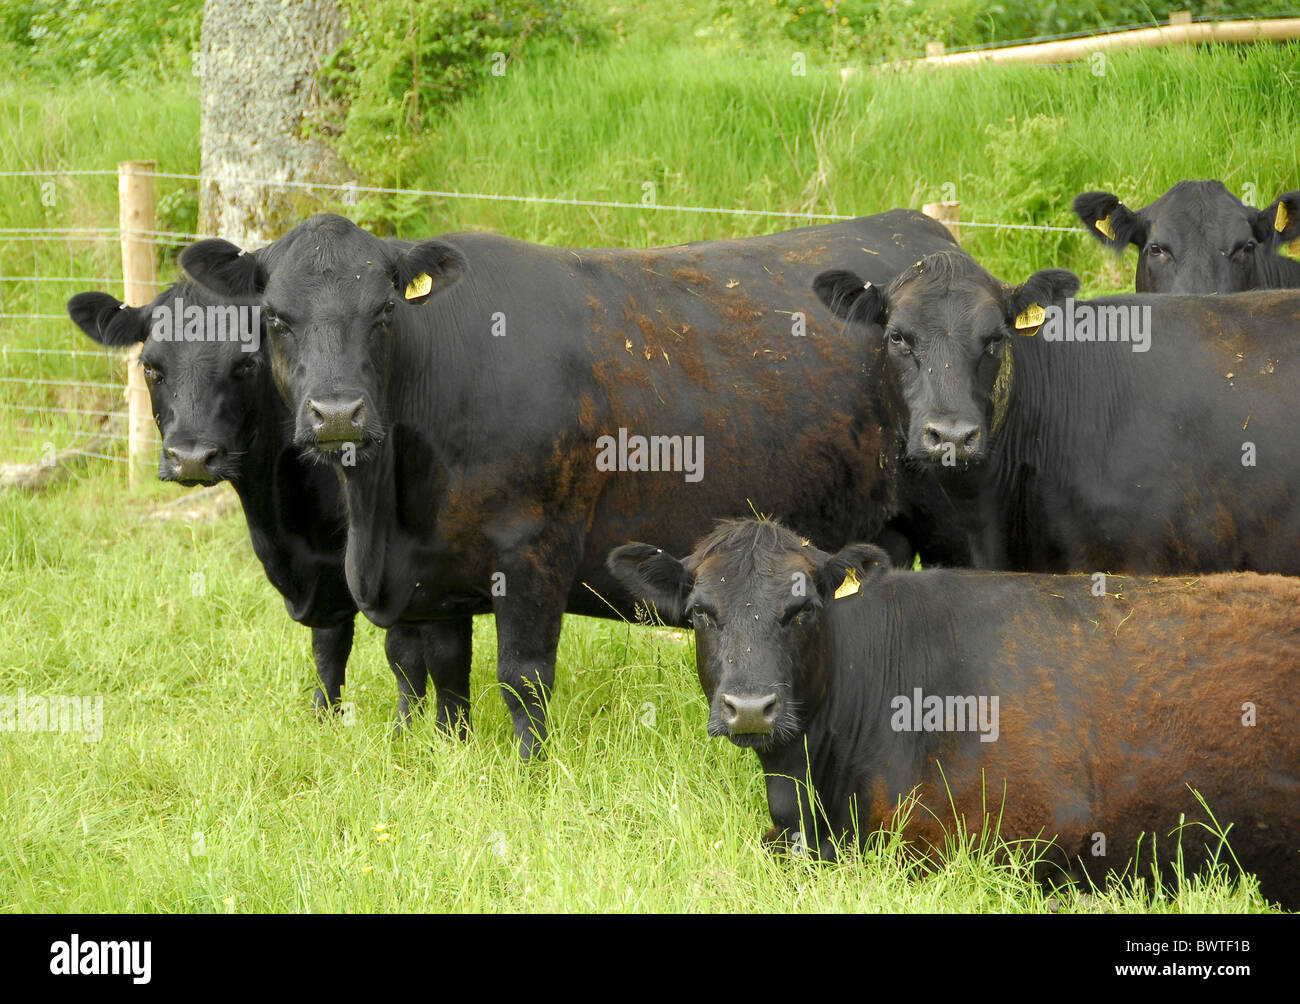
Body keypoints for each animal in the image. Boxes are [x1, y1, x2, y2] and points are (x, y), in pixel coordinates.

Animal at [65, 283, 466, 733]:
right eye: (150, 367)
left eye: (244, 364)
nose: (191, 458)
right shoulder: (322, 562)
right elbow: (329, 643)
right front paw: (323, 717)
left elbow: (404, 648)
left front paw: (407, 731)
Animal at [178, 210, 969, 759]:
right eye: (275, 318)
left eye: (383, 312)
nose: (338, 413)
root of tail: (917, 227)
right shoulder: (431, 575)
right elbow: (439, 671)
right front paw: (442, 757)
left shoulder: (535, 548)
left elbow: (523, 675)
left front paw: (530, 774)